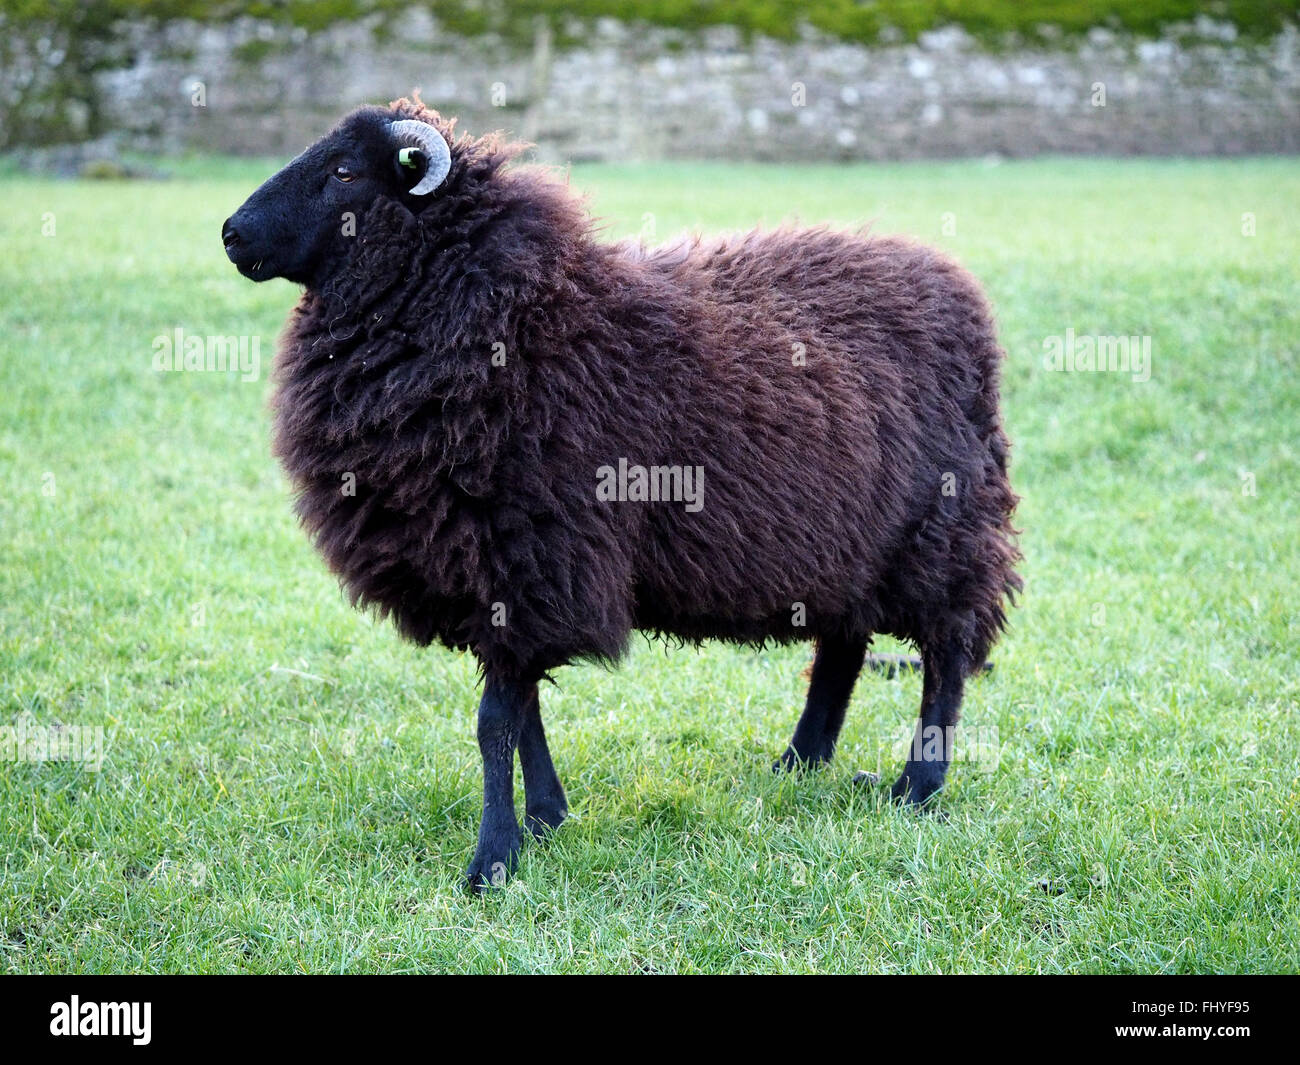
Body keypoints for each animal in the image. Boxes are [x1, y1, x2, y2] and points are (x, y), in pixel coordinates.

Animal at [222, 97, 1021, 891]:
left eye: (344, 172)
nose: (231, 234)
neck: (513, 319)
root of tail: (956, 286)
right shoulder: (500, 577)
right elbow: (524, 712)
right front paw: (545, 817)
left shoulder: (529, 559)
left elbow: (494, 721)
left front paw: (493, 859)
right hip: (845, 544)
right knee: (841, 651)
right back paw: (798, 764)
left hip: (944, 529)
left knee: (946, 655)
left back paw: (918, 785)